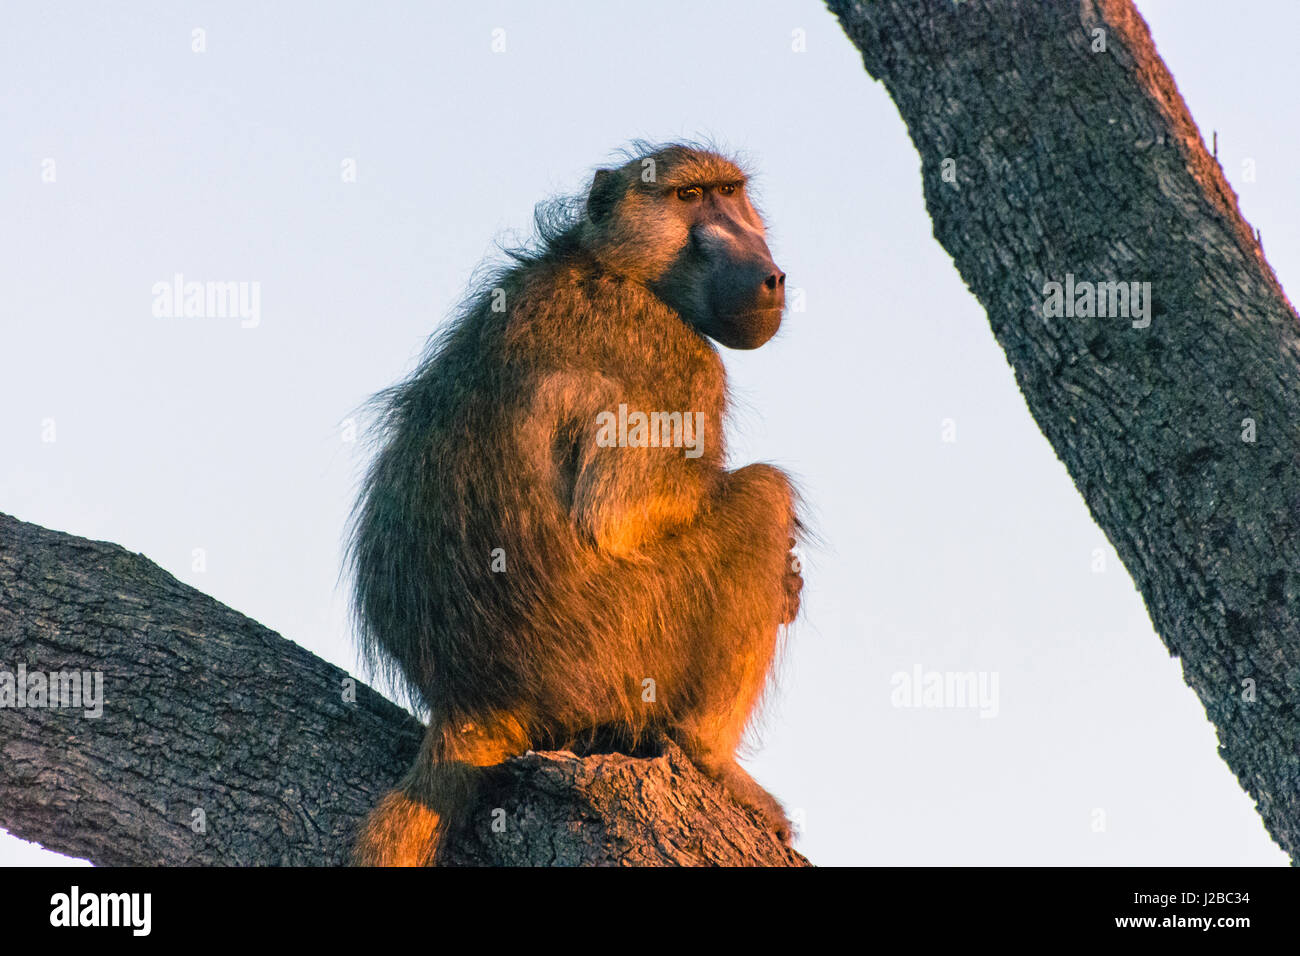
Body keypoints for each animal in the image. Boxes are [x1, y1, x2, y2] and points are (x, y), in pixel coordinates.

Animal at [348, 142, 802, 866]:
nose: (767, 275)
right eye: (689, 198)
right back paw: (711, 758)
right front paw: (788, 574)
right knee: (763, 497)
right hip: (621, 652)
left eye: (731, 193)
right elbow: (619, 514)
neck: (609, 265)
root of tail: (468, 702)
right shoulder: (674, 355)